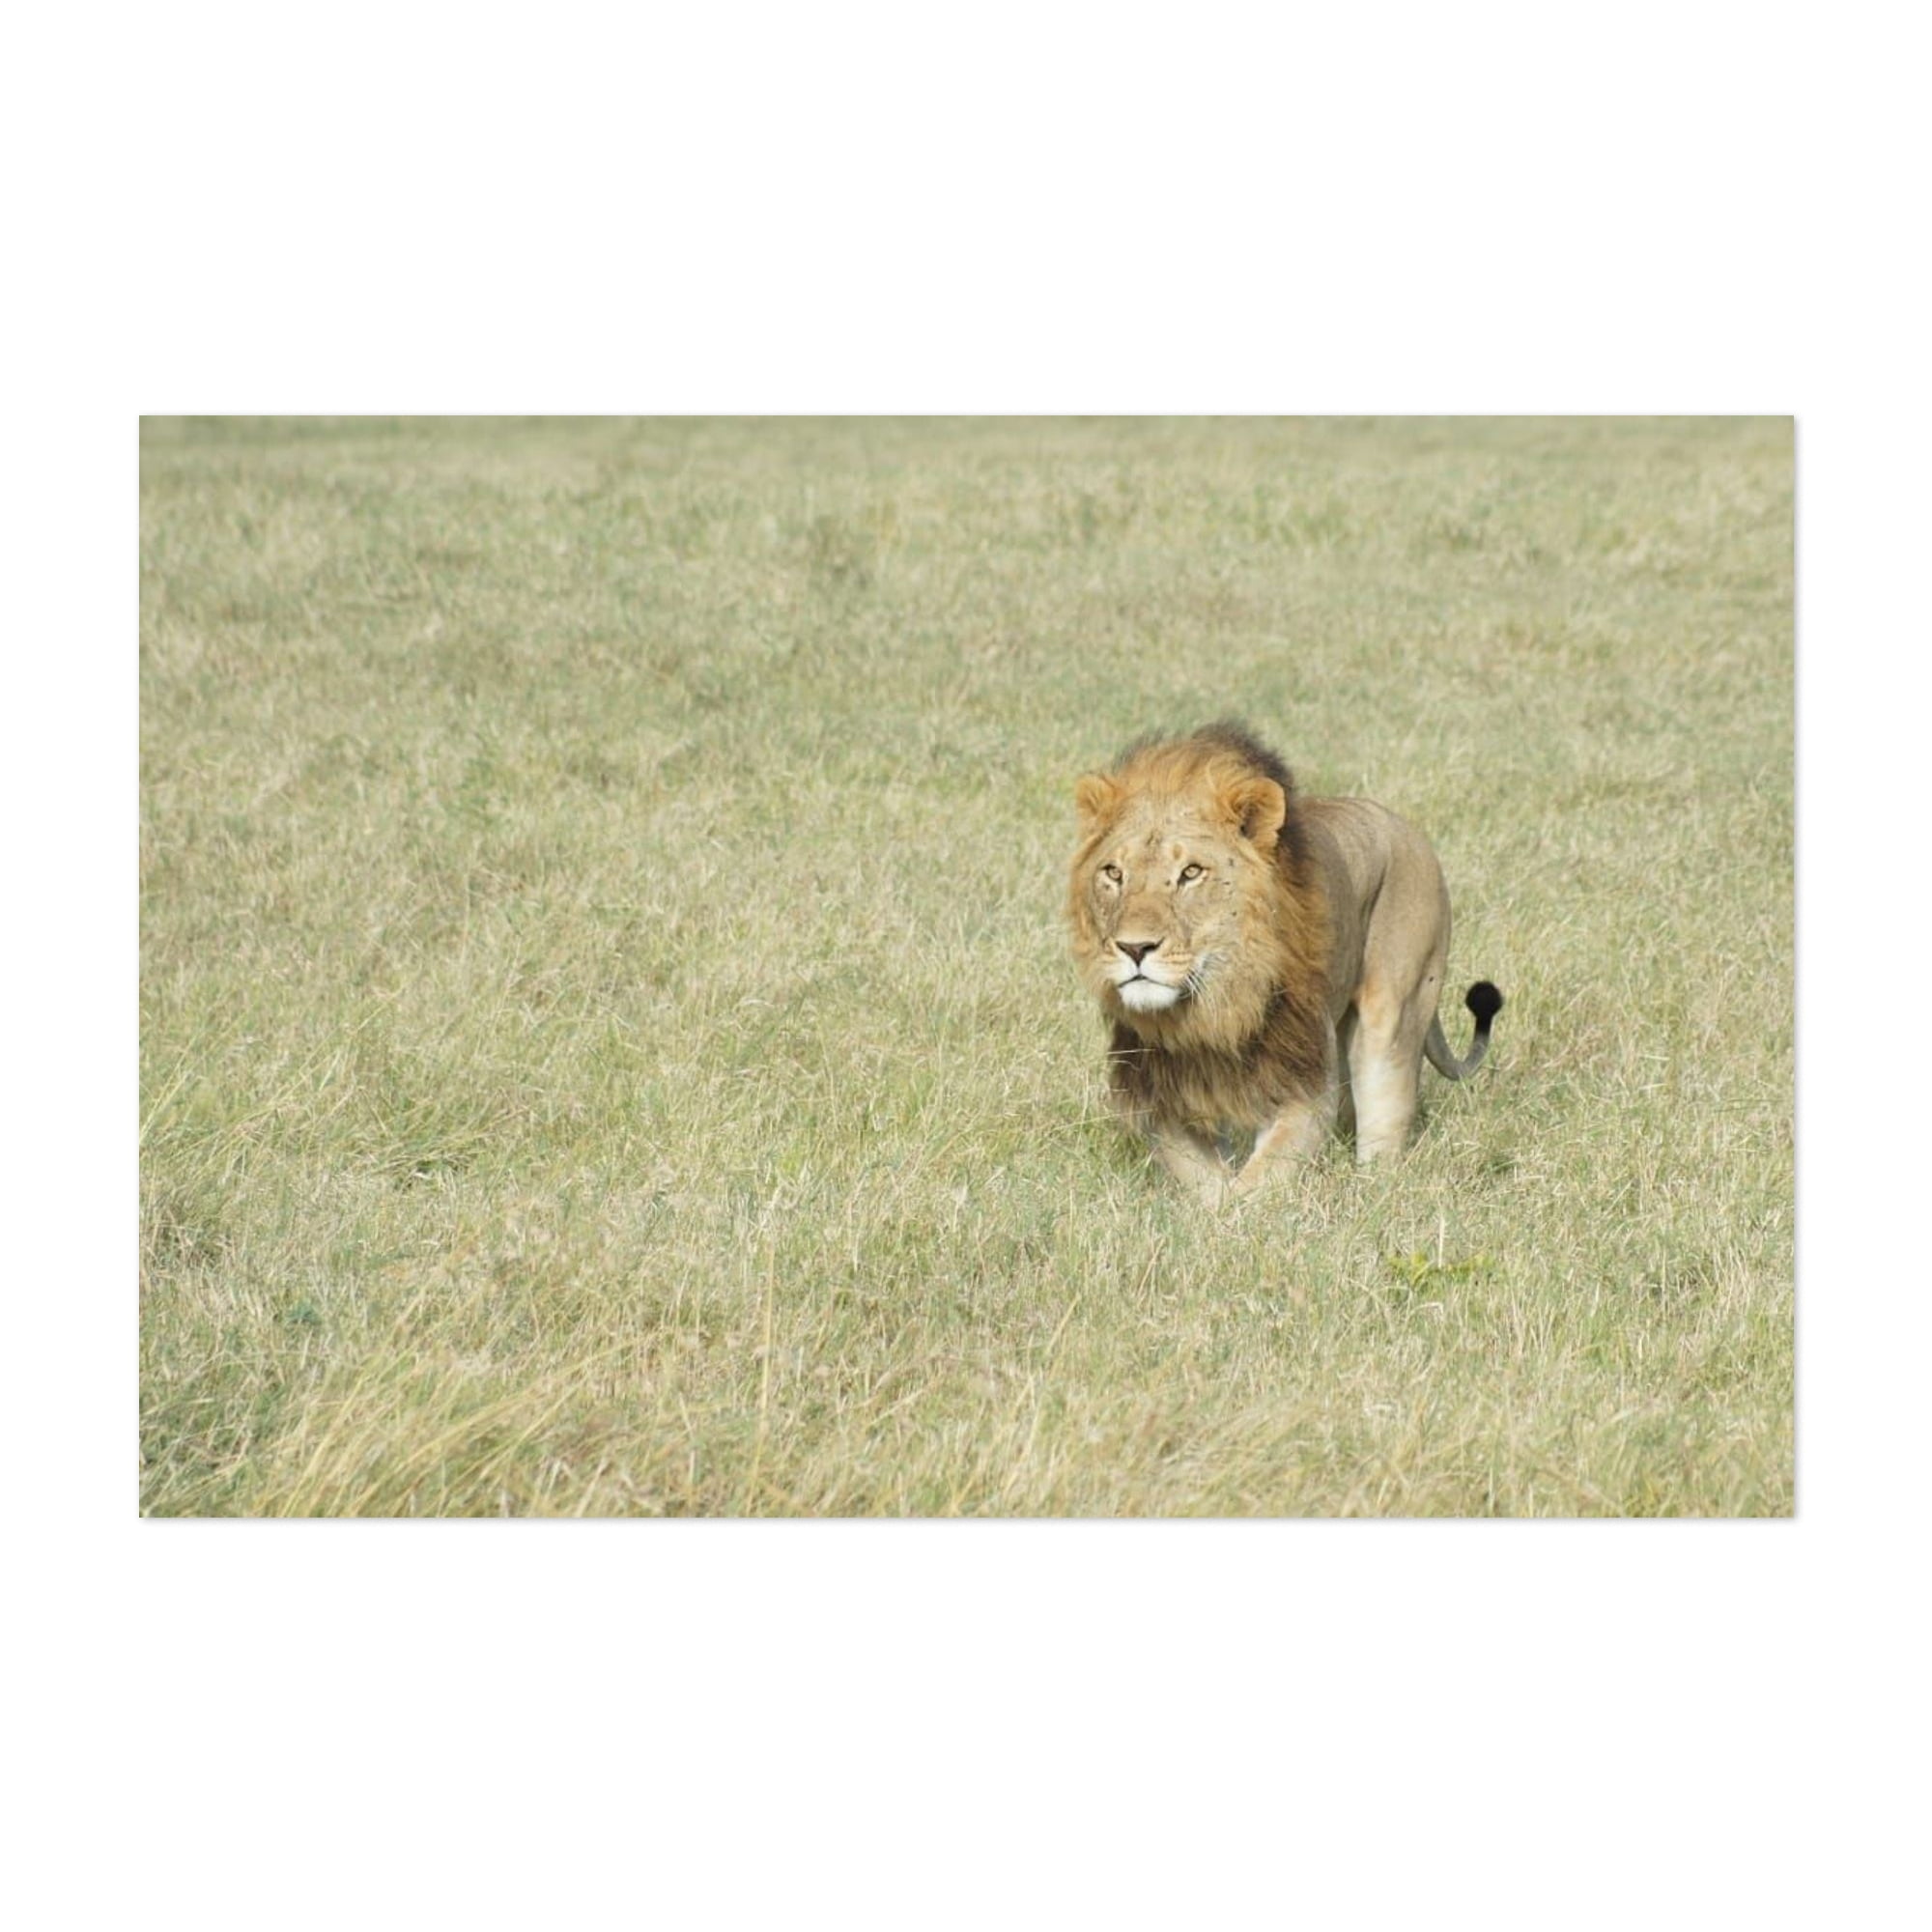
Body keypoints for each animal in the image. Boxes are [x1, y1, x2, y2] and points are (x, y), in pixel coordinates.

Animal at [1067, 720, 1502, 1204]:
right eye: (1114, 873)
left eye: (1191, 873)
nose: (1134, 948)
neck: (1212, 1008)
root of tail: (1404, 826)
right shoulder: (1164, 1093)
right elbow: (1205, 1179)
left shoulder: (1301, 1078)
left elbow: (1263, 1177)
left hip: (1395, 1009)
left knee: (1384, 1112)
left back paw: (1373, 1193)